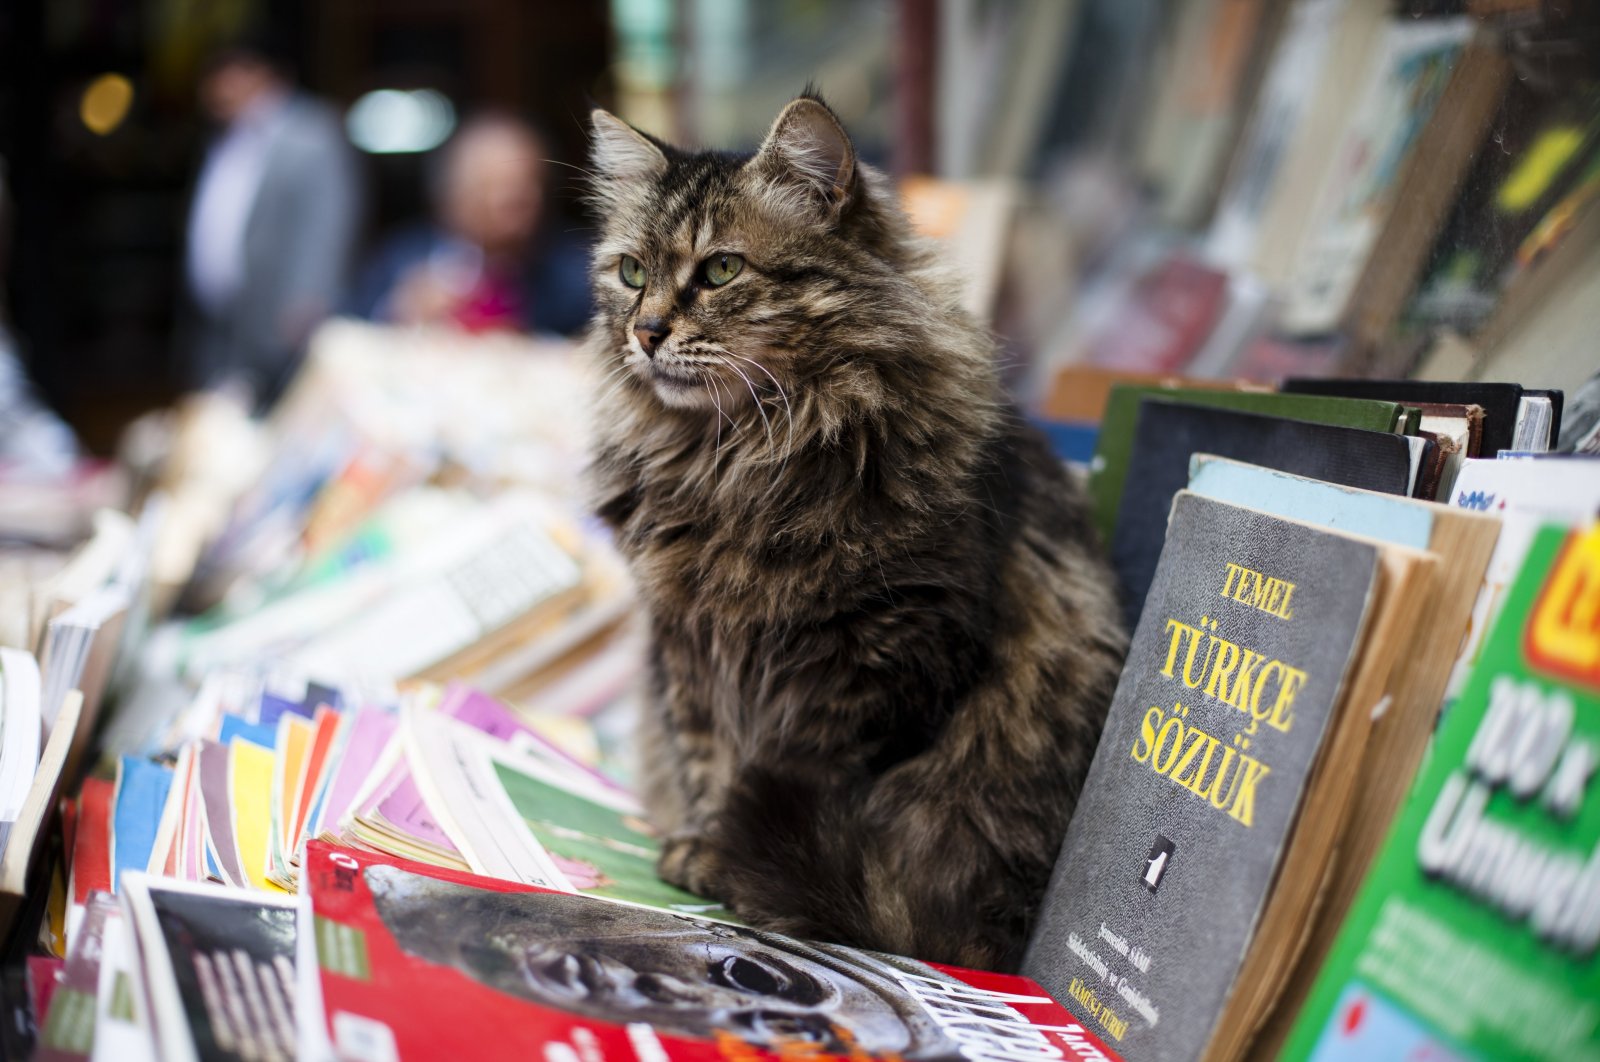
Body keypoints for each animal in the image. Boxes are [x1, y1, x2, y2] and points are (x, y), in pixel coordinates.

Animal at [585, 93, 1126, 972]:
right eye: (632, 273)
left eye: (721, 270)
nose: (647, 331)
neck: (737, 457)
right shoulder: (688, 646)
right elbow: (707, 761)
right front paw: (701, 847)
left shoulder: (882, 662)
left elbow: (793, 781)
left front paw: (730, 866)